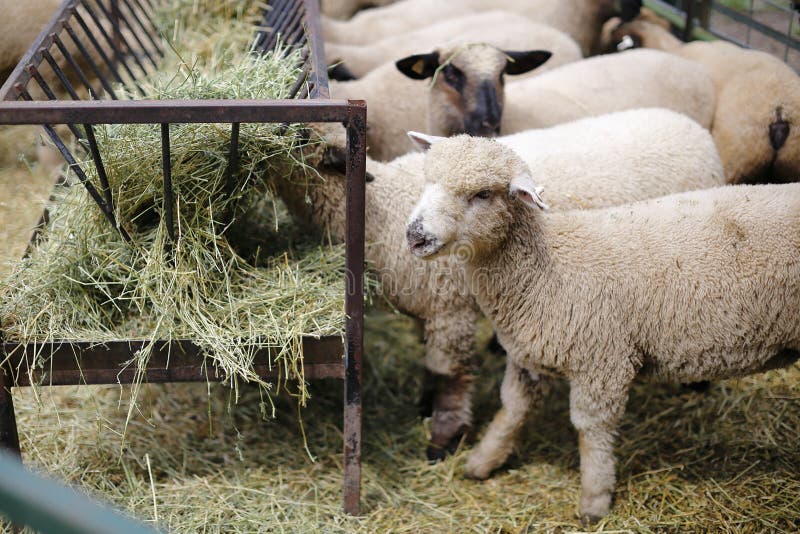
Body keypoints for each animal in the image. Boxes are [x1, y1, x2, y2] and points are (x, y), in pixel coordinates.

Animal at [273, 108, 725, 461]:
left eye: (299, 136)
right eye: (427, 179)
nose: (416, 236)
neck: (381, 207)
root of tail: (691, 126)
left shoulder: (450, 306)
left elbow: (449, 373)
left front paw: (444, 437)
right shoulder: (429, 304)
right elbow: (429, 362)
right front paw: (424, 405)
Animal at [405, 134, 800, 523]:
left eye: (483, 193)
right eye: (427, 180)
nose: (415, 235)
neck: (548, 266)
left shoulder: (602, 362)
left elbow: (591, 431)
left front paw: (594, 500)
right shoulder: (527, 357)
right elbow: (512, 410)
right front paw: (482, 461)